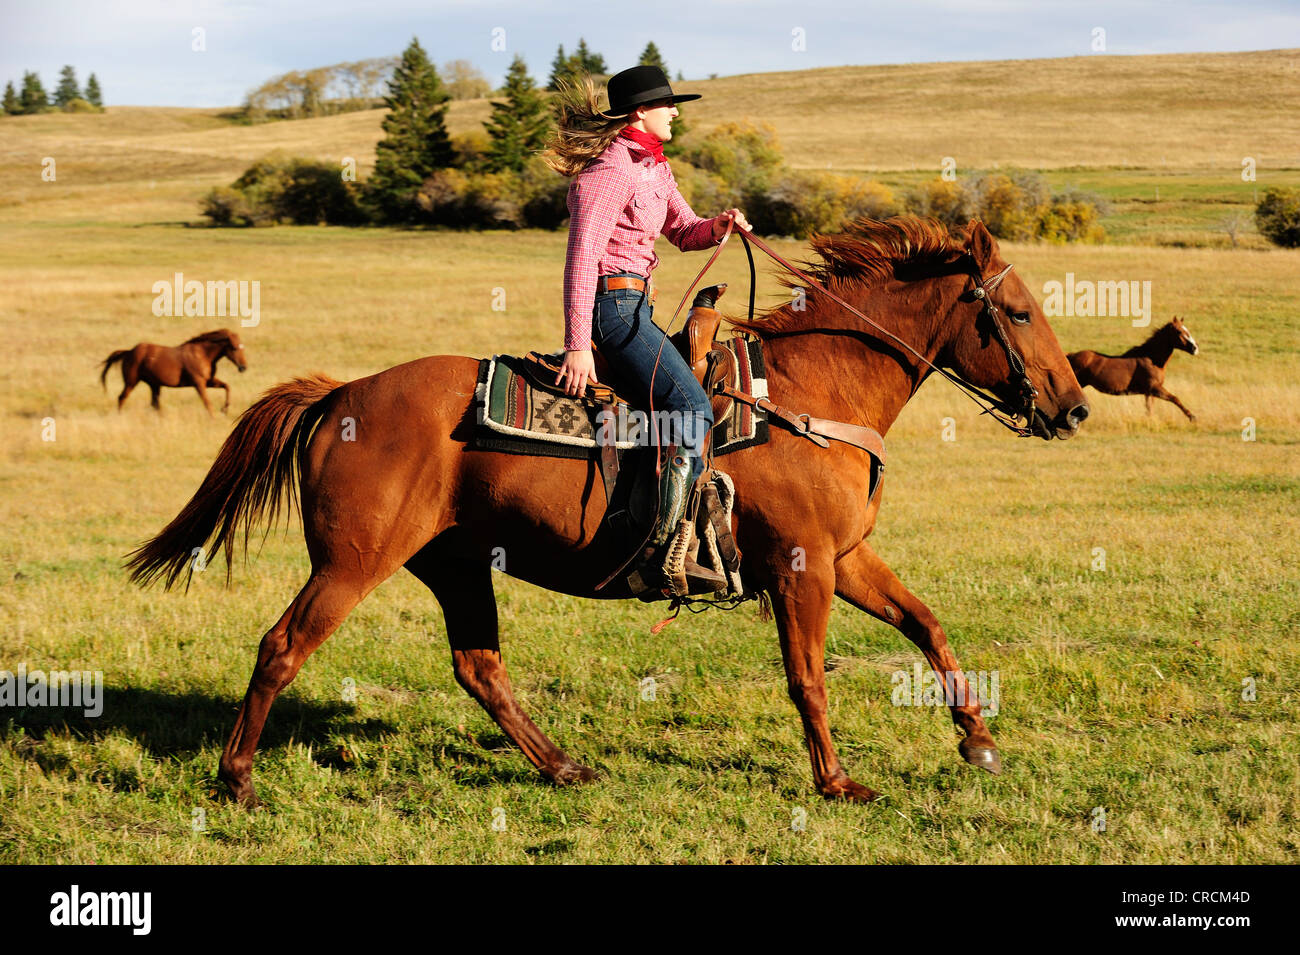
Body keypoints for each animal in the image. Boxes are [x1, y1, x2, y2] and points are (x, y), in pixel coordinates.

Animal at [100, 328, 248, 415]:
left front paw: (225, 409)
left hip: (154, 385)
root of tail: (129, 351)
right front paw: (215, 416)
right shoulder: (199, 383)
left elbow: (227, 386)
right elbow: (207, 403)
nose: (243, 367)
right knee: (122, 397)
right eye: (234, 348)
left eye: (243, 347)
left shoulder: (209, 381)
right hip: (131, 382)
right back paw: (120, 415)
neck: (202, 354)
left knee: (154, 404)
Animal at [125, 217, 1089, 806]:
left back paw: (562, 765)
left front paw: (976, 737)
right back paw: (237, 779)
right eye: (1018, 312)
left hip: (457, 562)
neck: (811, 392)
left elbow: (926, 623)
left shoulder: (845, 558)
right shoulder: (803, 568)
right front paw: (837, 781)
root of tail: (341, 395)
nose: (1074, 408)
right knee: (282, 646)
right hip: (350, 563)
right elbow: (808, 676)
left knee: (479, 667)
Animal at [1067, 316, 1198, 421]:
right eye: (1179, 331)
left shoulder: (1149, 392)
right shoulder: (1155, 388)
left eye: (1187, 330)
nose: (1195, 348)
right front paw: (1192, 417)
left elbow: (1150, 408)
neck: (1152, 359)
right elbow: (1175, 398)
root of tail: (1070, 356)